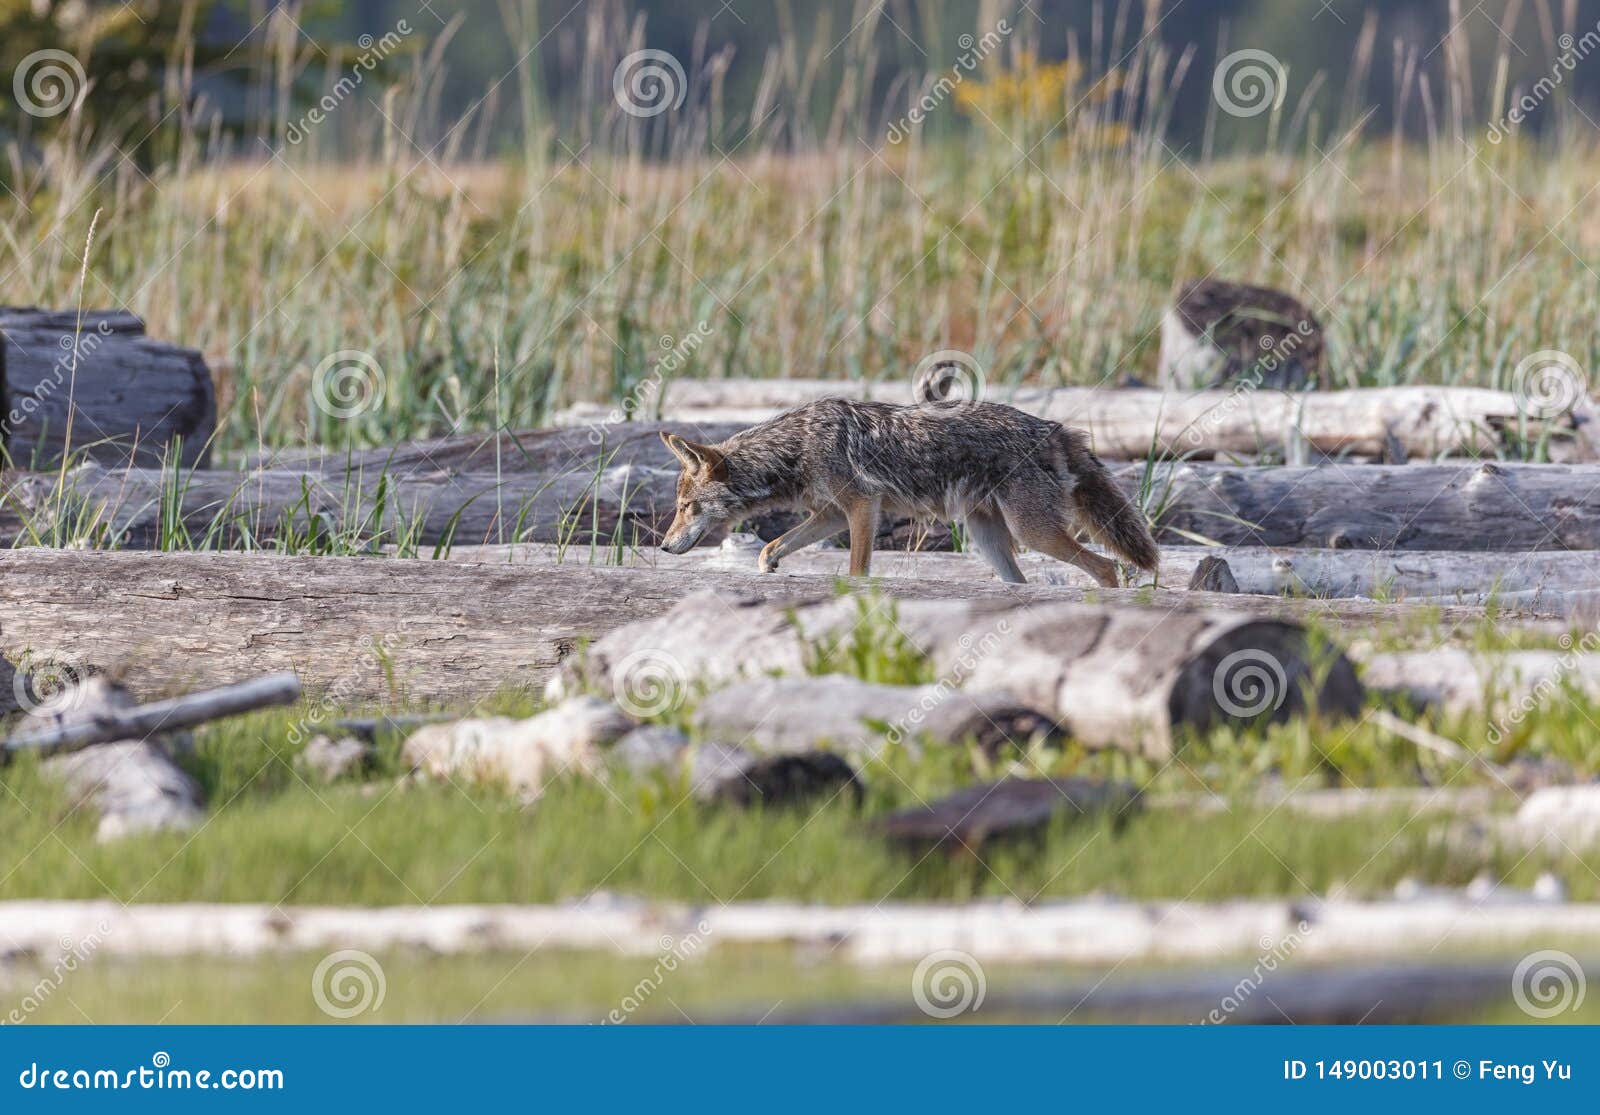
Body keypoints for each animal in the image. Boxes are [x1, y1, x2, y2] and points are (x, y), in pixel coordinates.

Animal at [658, 397, 1159, 586]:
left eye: (685, 507)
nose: (662, 547)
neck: (794, 448)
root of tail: (1054, 427)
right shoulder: (833, 513)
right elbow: (773, 544)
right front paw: (769, 564)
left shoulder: (862, 506)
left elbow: (857, 570)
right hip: (991, 540)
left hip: (1033, 533)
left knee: (1107, 568)